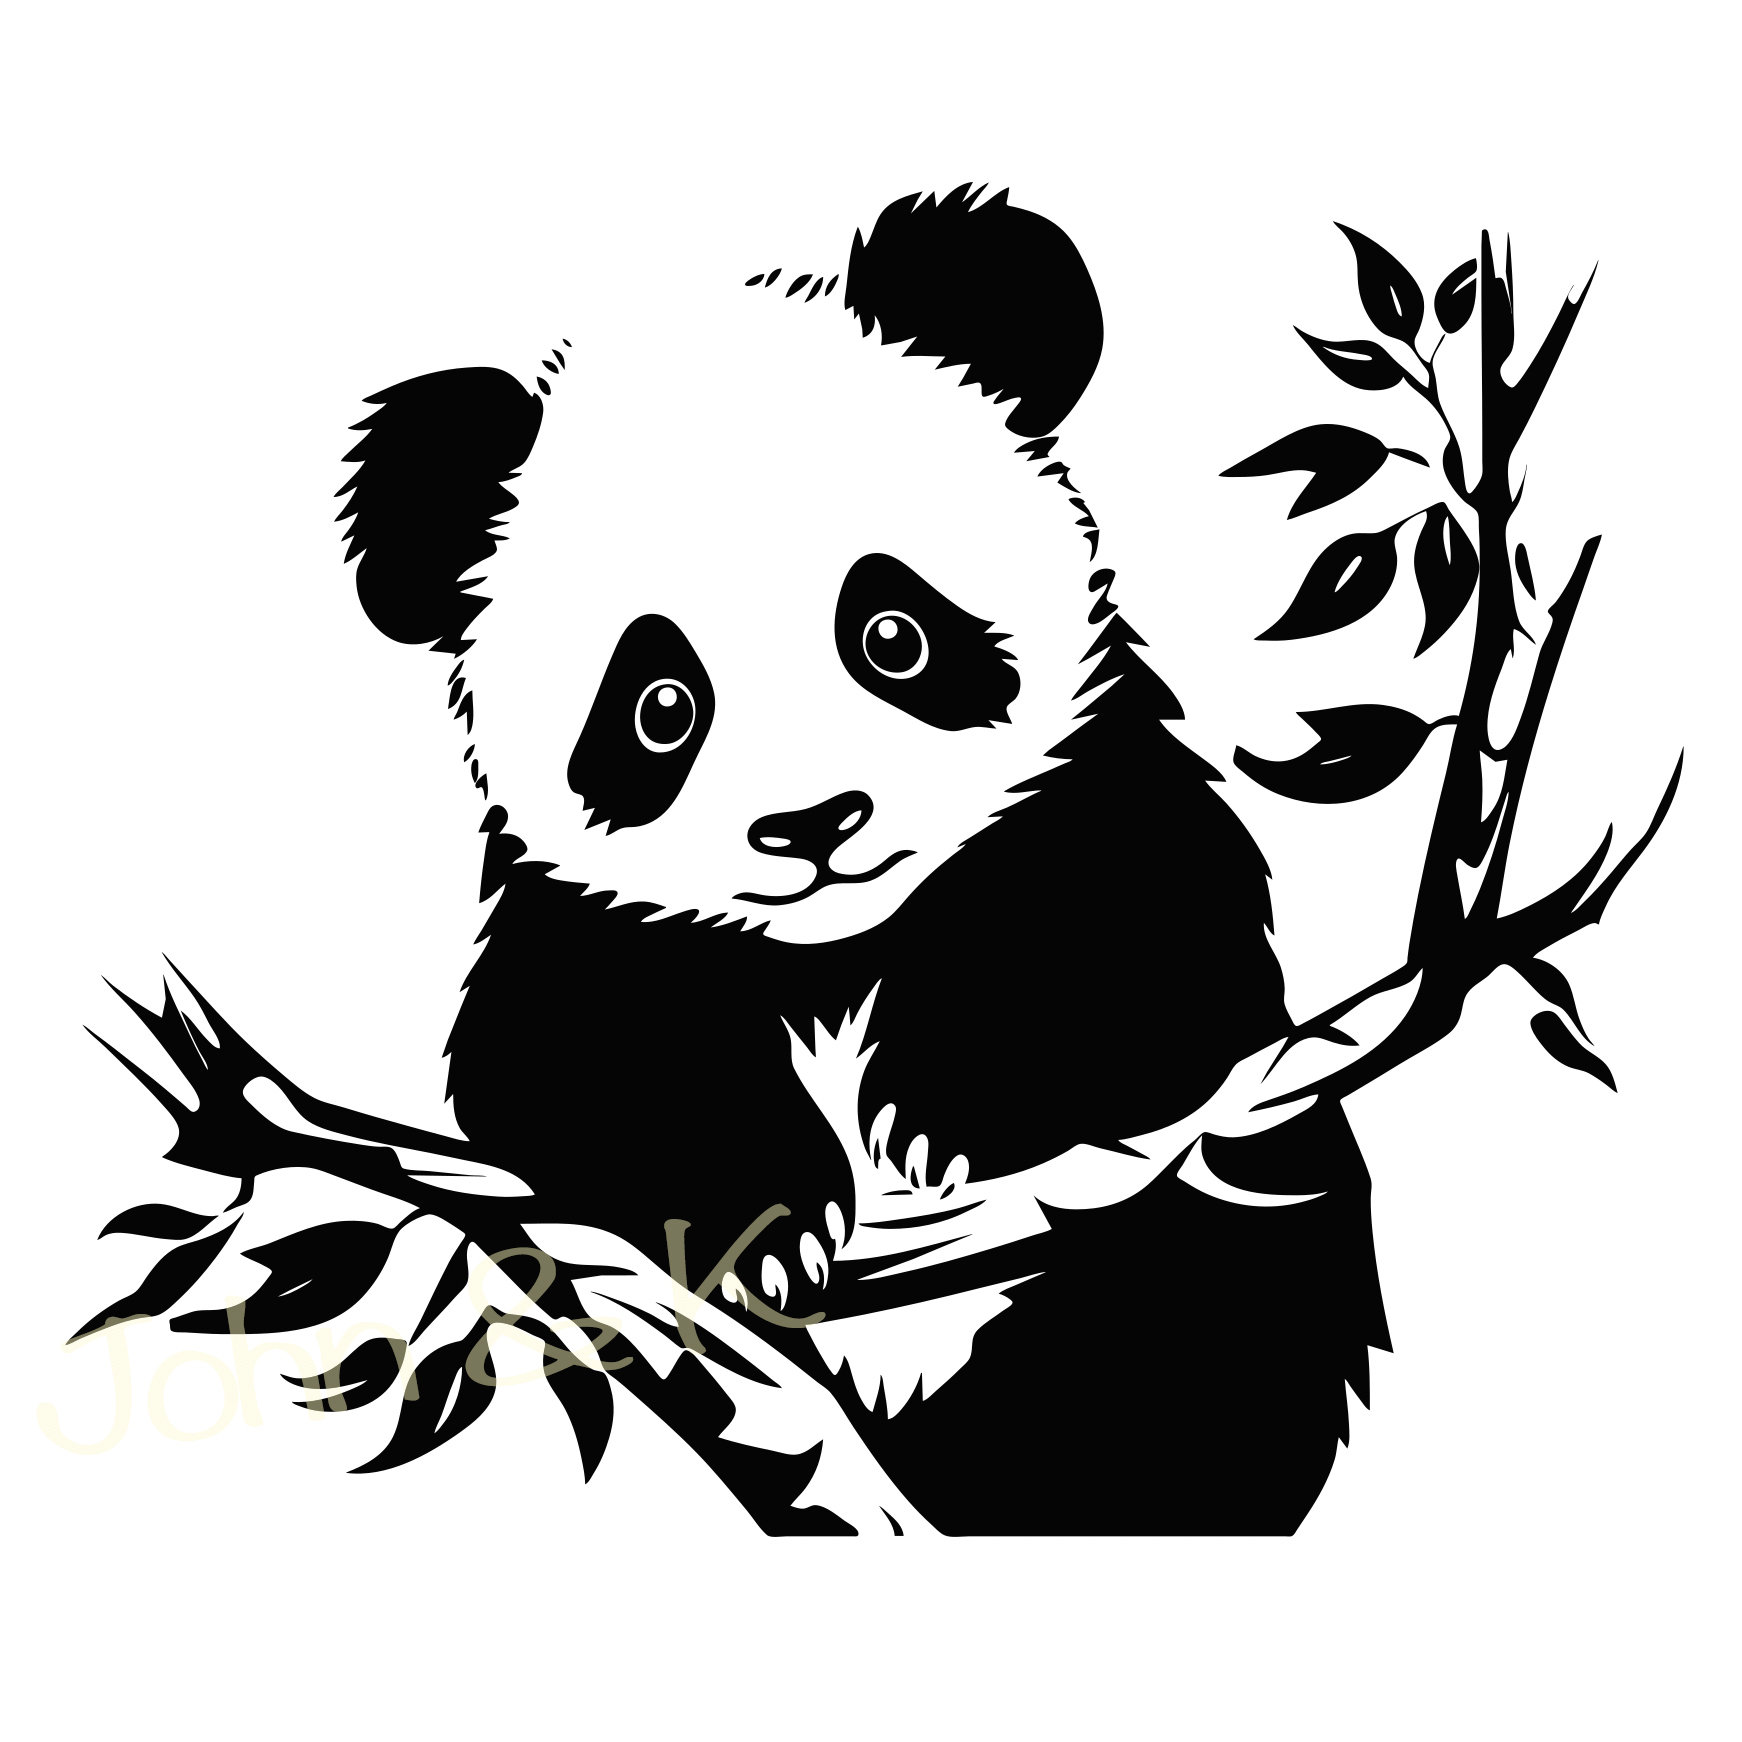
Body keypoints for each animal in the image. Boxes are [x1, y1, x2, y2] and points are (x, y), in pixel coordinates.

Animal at [338, 185, 1389, 1535]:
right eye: (659, 704)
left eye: (891, 632)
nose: (814, 823)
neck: (840, 947)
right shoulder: (586, 931)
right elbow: (566, 1074)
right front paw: (765, 1225)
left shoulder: (1097, 816)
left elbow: (1136, 977)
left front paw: (957, 1108)